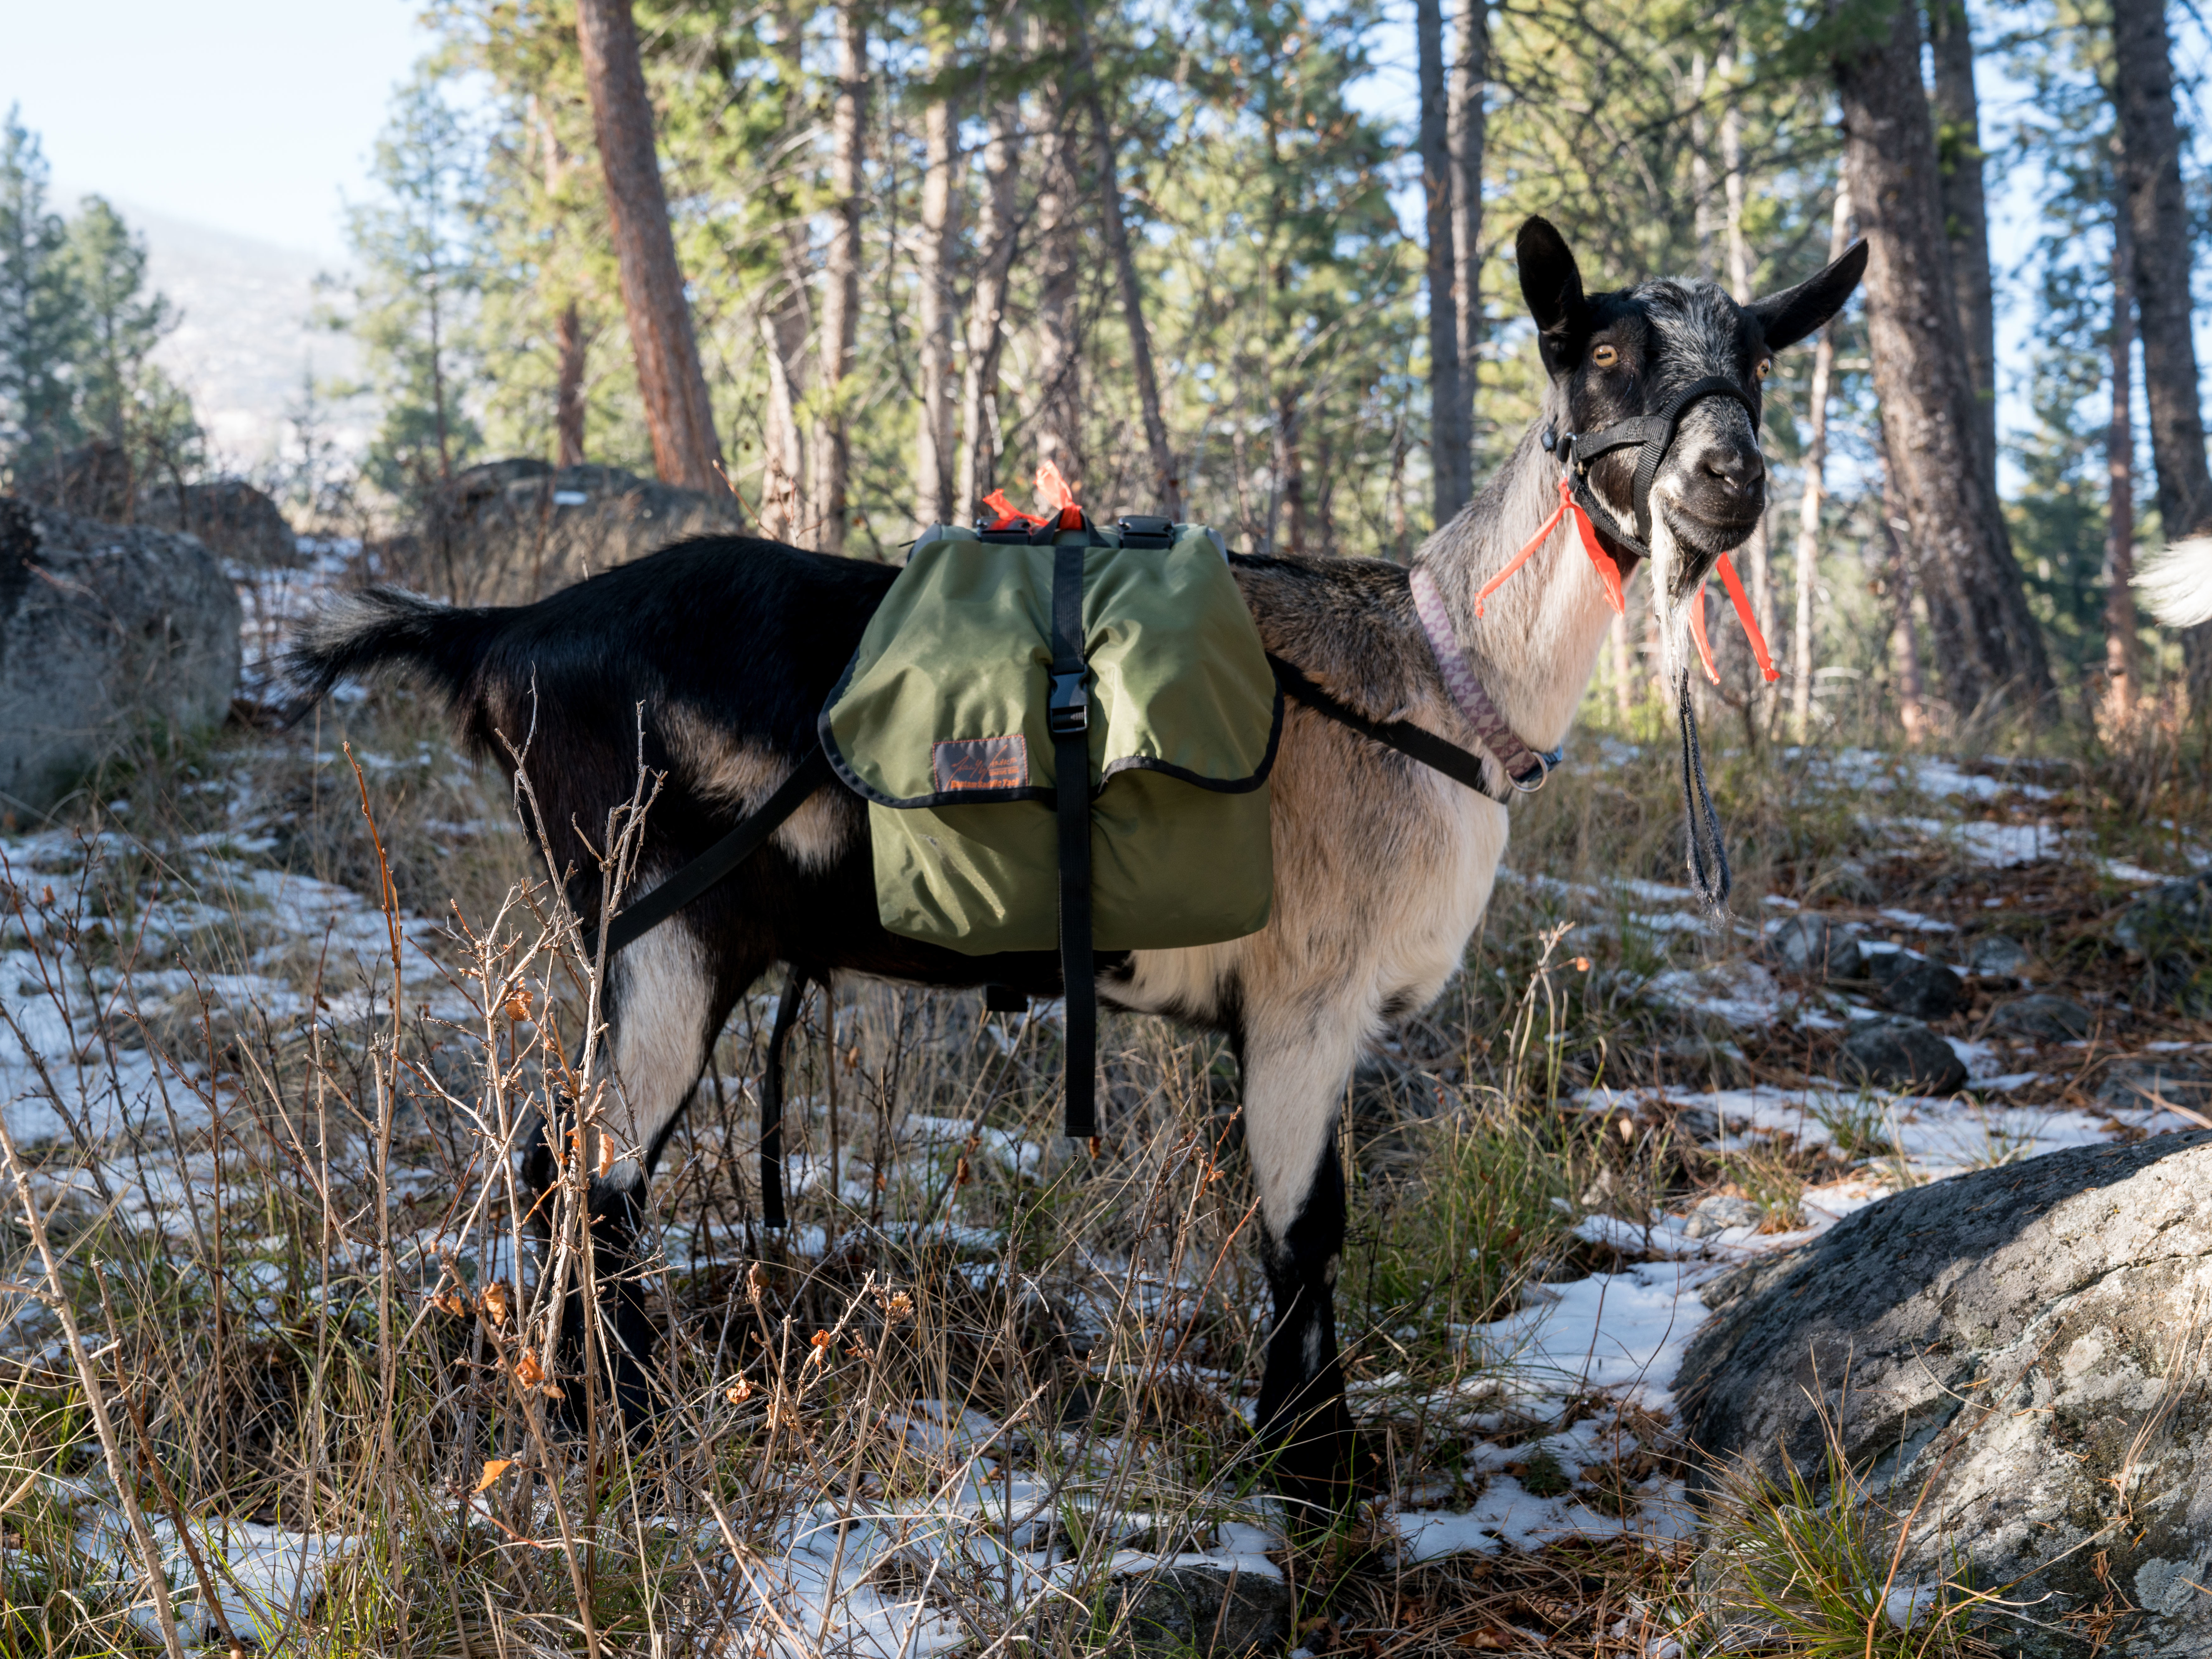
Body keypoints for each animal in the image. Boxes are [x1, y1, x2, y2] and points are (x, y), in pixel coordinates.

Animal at [291, 217, 1863, 1517]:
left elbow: (1297, 1228)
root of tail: (499, 633)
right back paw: (619, 1420)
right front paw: (1315, 1470)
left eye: (1758, 363)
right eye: (1599, 352)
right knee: (586, 1173)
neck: (1435, 671)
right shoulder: (1306, 995)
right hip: (661, 926)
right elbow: (1308, 1228)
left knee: (566, 1166)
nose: (1728, 476)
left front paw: (1305, 1448)